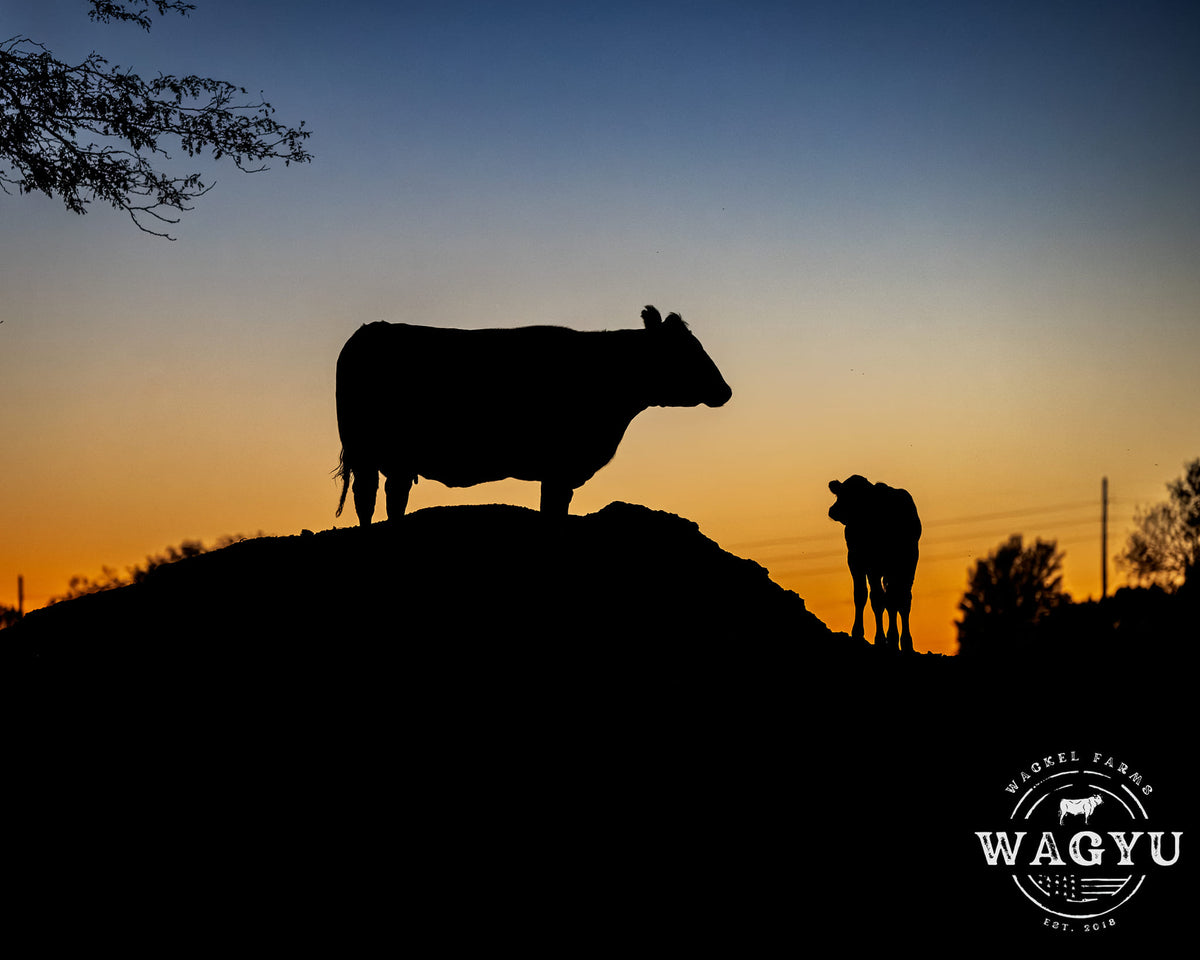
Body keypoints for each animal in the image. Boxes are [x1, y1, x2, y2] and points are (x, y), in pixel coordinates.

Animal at [334, 305, 732, 524]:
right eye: (688, 351)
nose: (725, 390)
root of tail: (369, 329)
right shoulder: (560, 467)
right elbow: (553, 512)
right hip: (365, 450)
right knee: (367, 498)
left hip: (394, 458)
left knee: (392, 496)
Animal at [827, 475, 922, 653]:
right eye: (840, 493)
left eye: (851, 497)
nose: (832, 510)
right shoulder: (855, 560)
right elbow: (861, 595)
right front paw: (858, 633)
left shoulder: (875, 565)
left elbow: (879, 599)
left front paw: (881, 639)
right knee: (892, 599)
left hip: (907, 564)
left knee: (902, 599)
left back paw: (904, 642)